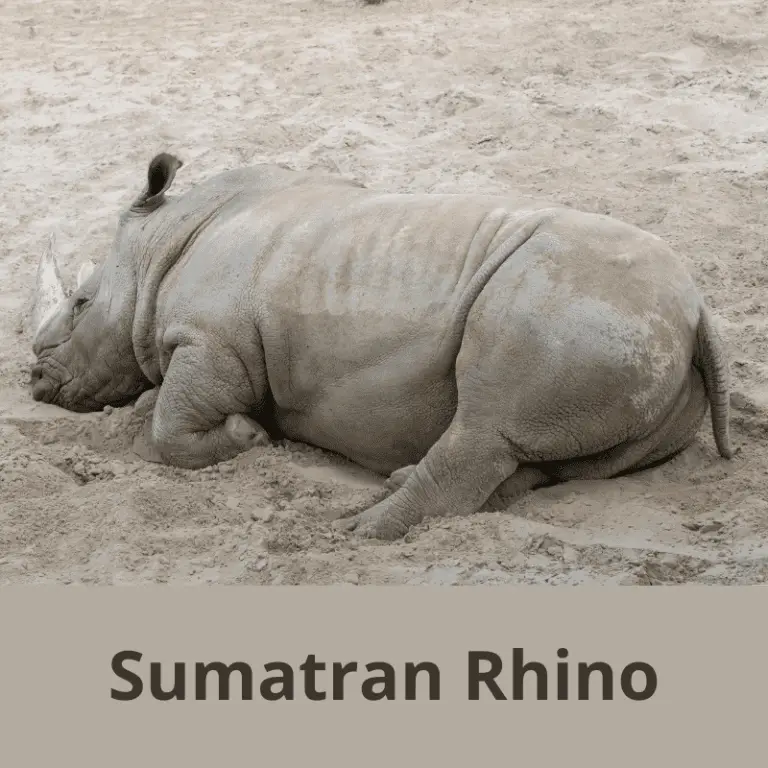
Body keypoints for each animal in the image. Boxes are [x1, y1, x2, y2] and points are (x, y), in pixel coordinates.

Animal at [28, 152, 733, 540]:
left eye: (81, 304)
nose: (35, 381)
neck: (159, 248)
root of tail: (695, 311)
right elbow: (160, 413)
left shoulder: (214, 339)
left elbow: (172, 427)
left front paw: (246, 436)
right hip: (635, 339)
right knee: (552, 455)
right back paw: (394, 486)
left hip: (576, 306)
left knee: (488, 424)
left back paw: (358, 530)